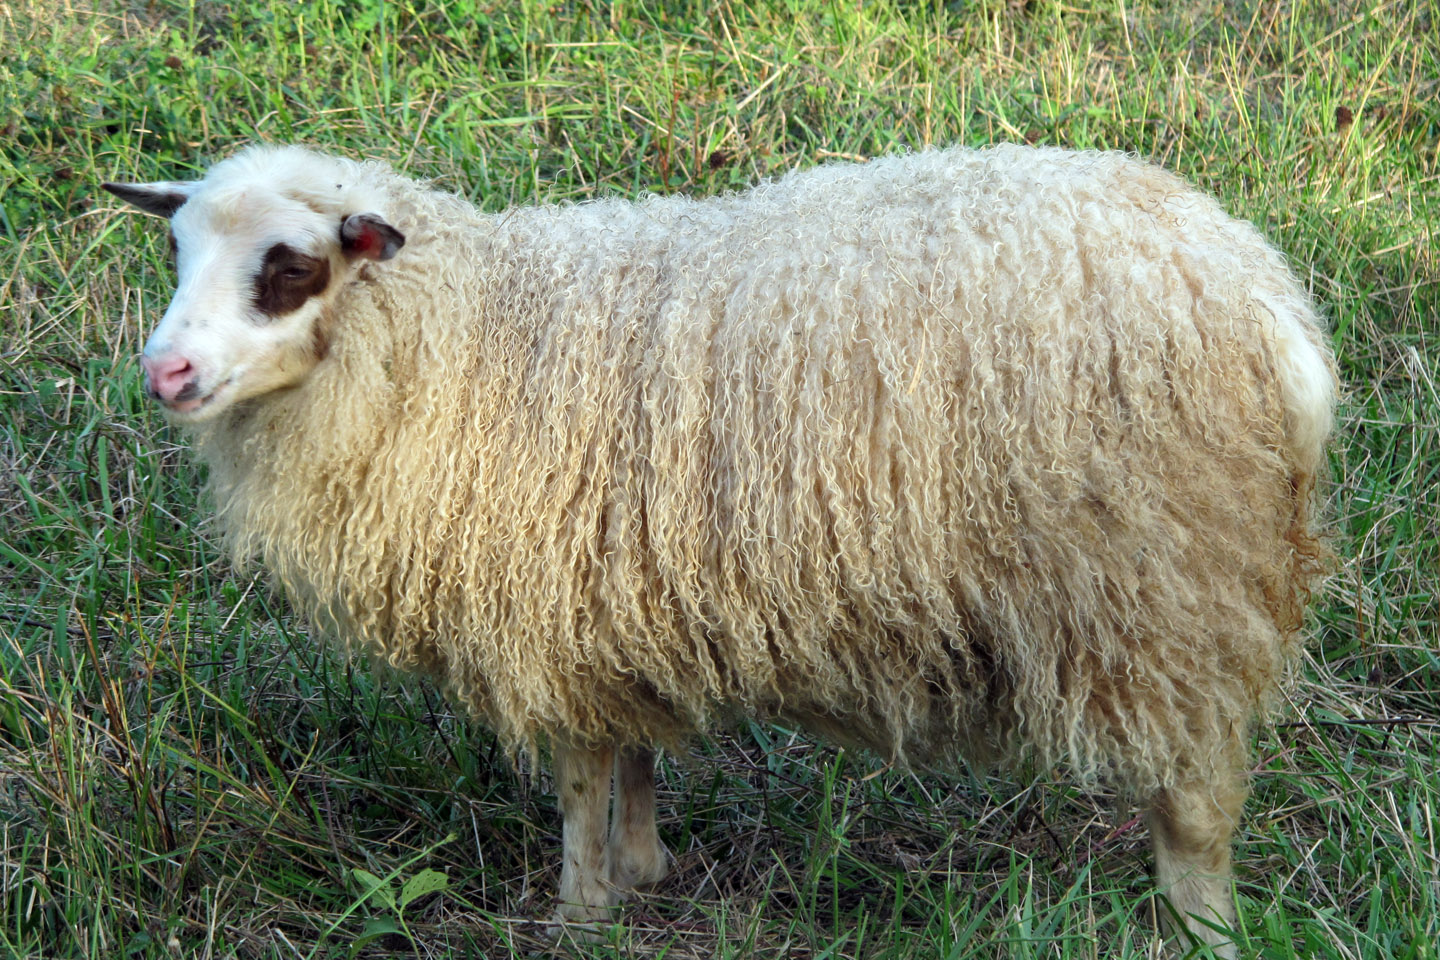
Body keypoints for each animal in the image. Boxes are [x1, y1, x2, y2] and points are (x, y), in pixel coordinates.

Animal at [103, 142, 1335, 954]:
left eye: (289, 266)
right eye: (172, 247)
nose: (166, 372)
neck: (468, 333)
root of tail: (1267, 296)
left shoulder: (542, 605)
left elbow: (577, 778)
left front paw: (581, 910)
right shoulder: (612, 604)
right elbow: (631, 754)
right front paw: (647, 869)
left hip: (1166, 584)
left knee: (1198, 800)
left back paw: (1203, 927)